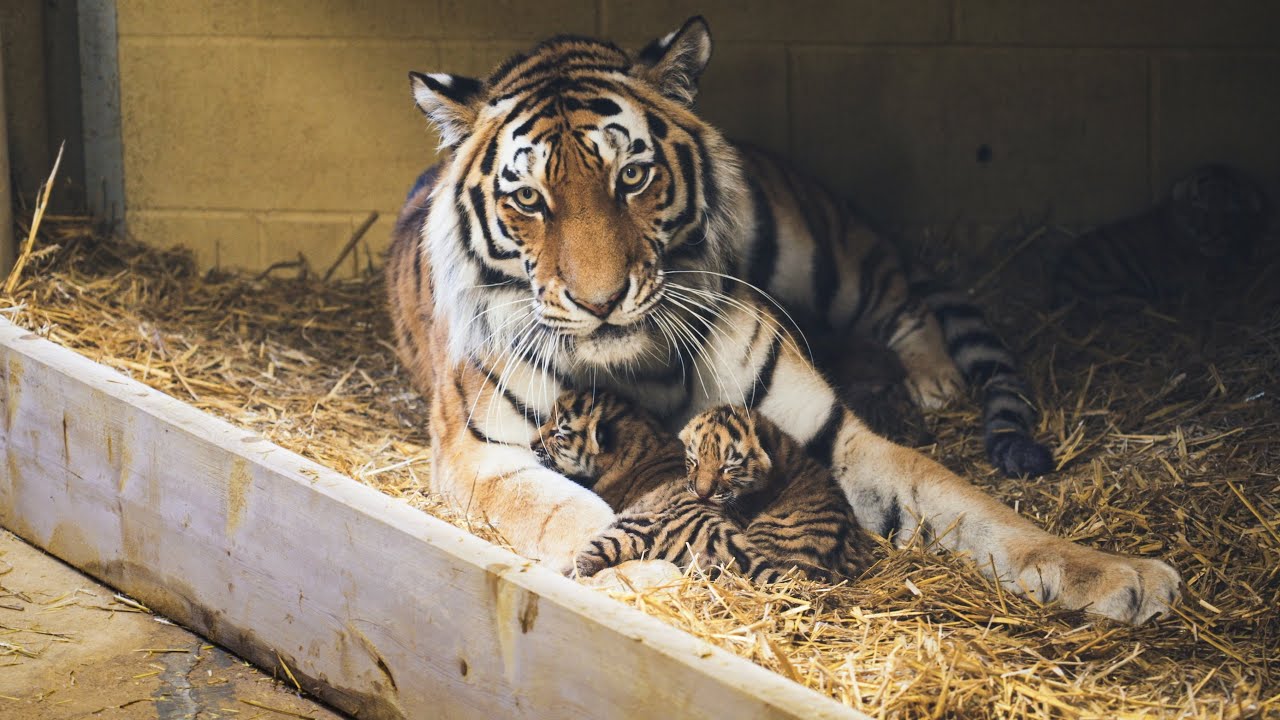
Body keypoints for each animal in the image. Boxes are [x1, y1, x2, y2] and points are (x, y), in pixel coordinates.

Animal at [384, 16, 1182, 623]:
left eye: (632, 177)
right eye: (529, 199)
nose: (600, 301)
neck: (637, 364)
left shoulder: (829, 433)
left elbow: (971, 503)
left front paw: (1119, 574)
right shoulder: (483, 452)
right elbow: (565, 511)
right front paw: (643, 575)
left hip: (822, 257)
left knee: (904, 298)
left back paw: (938, 381)